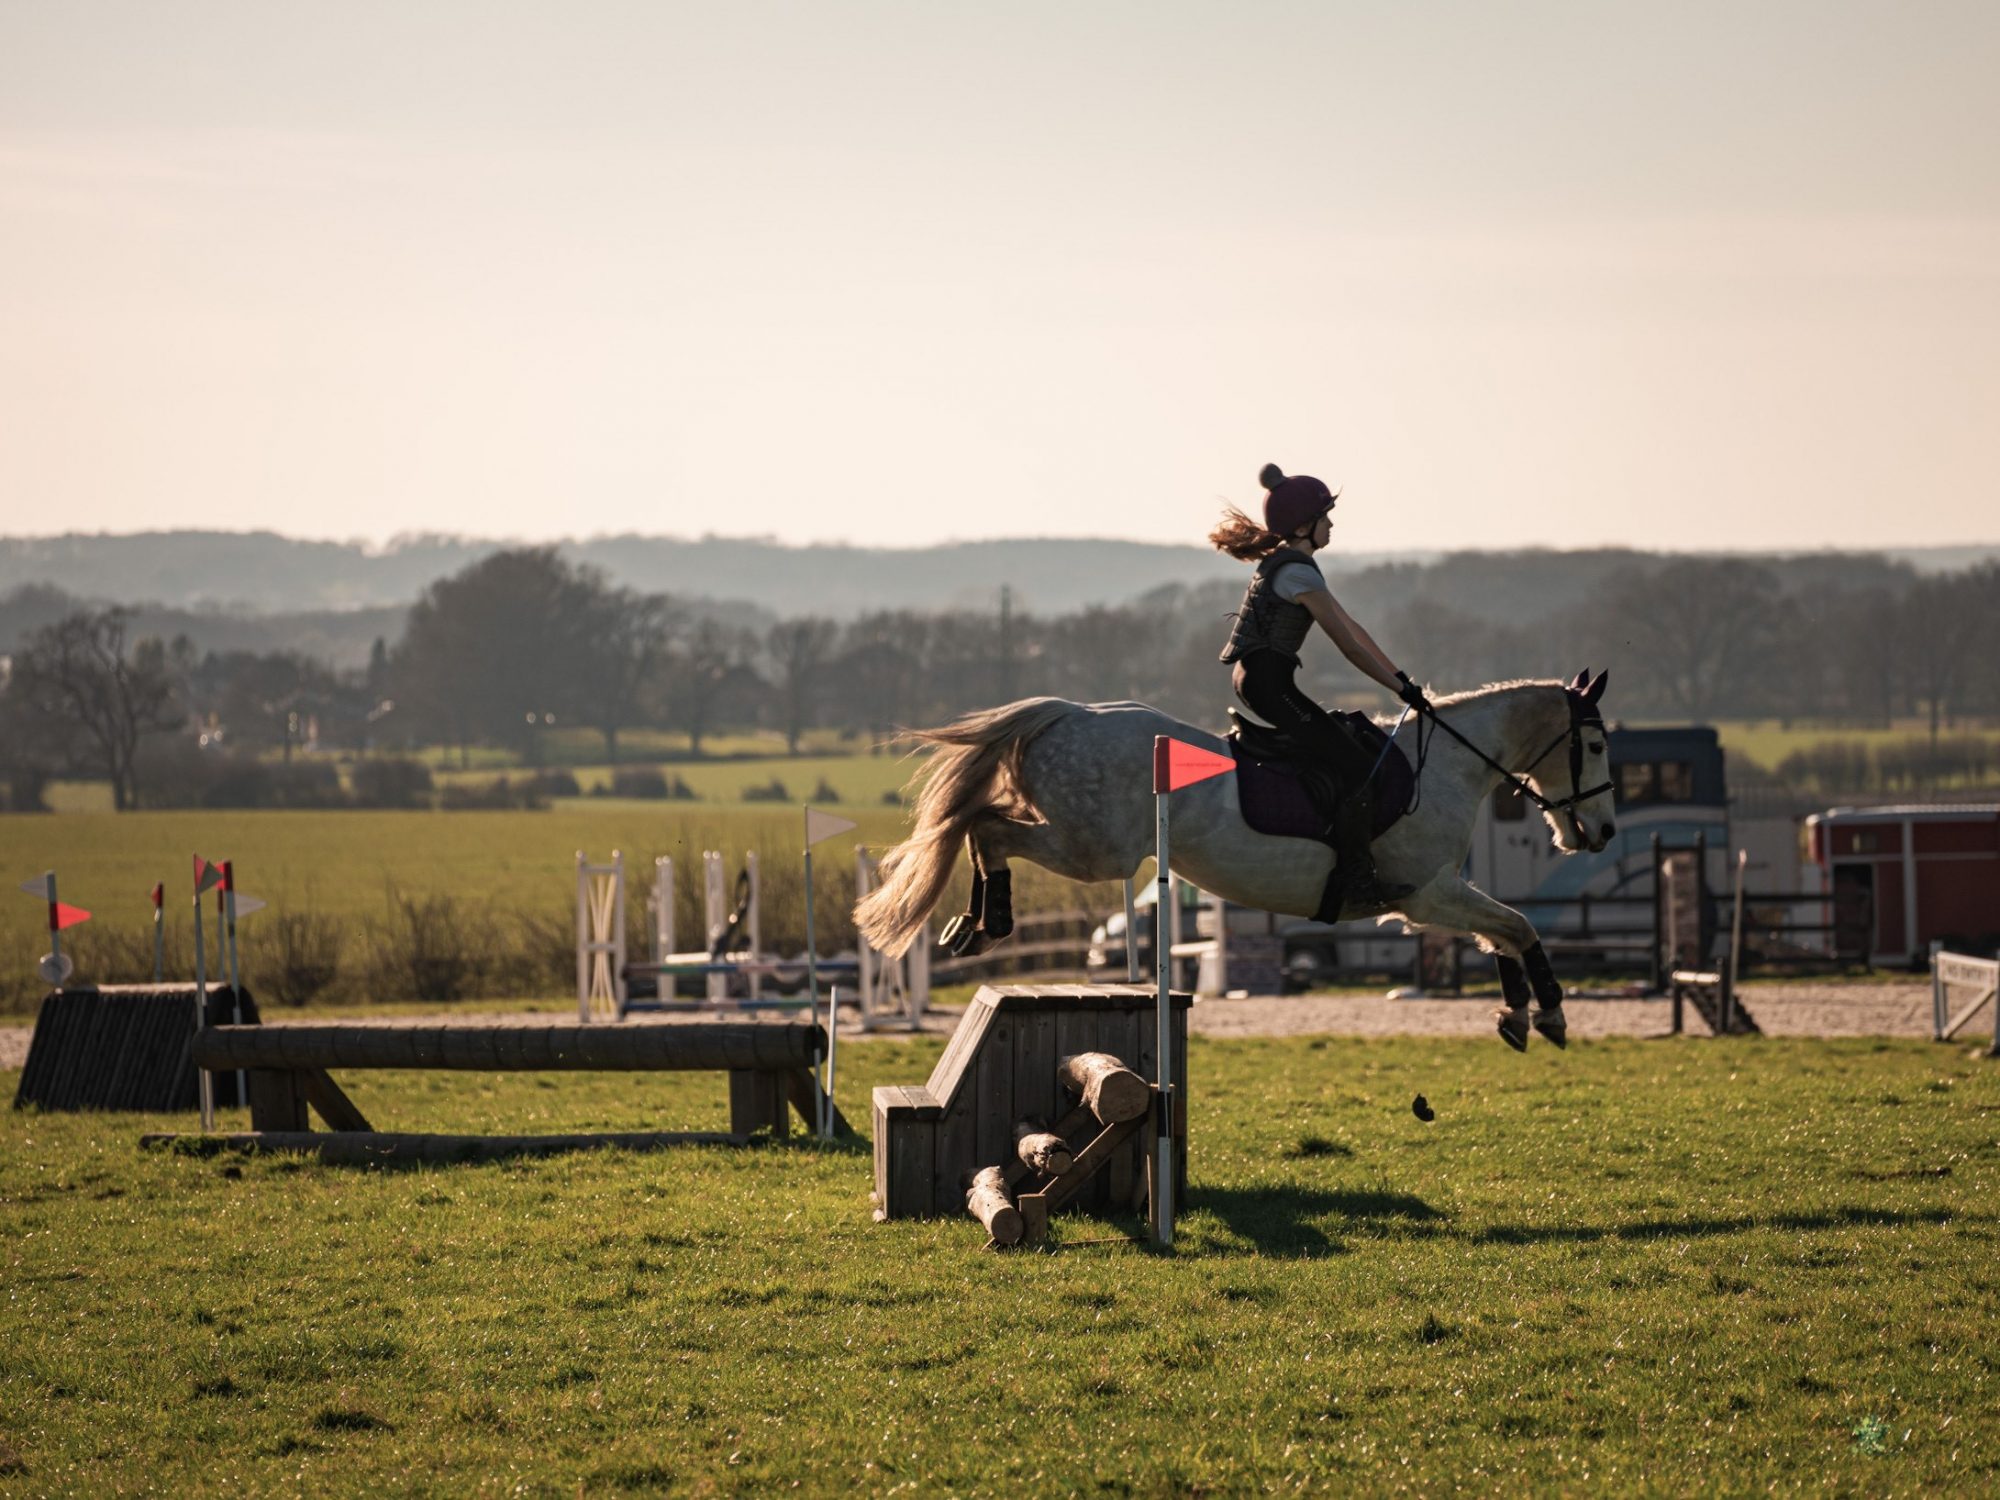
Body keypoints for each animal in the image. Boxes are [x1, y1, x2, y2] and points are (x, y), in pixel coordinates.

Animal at [854, 671, 1614, 1050]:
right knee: (986, 828)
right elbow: (1519, 927)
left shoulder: (1438, 896)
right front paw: (1549, 1014)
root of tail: (1069, 713)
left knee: (979, 825)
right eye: (1598, 745)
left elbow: (1504, 934)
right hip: (1096, 848)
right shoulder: (1424, 893)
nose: (1602, 831)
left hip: (1086, 842)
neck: (1449, 763)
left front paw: (1516, 1016)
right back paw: (990, 923)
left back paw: (973, 926)